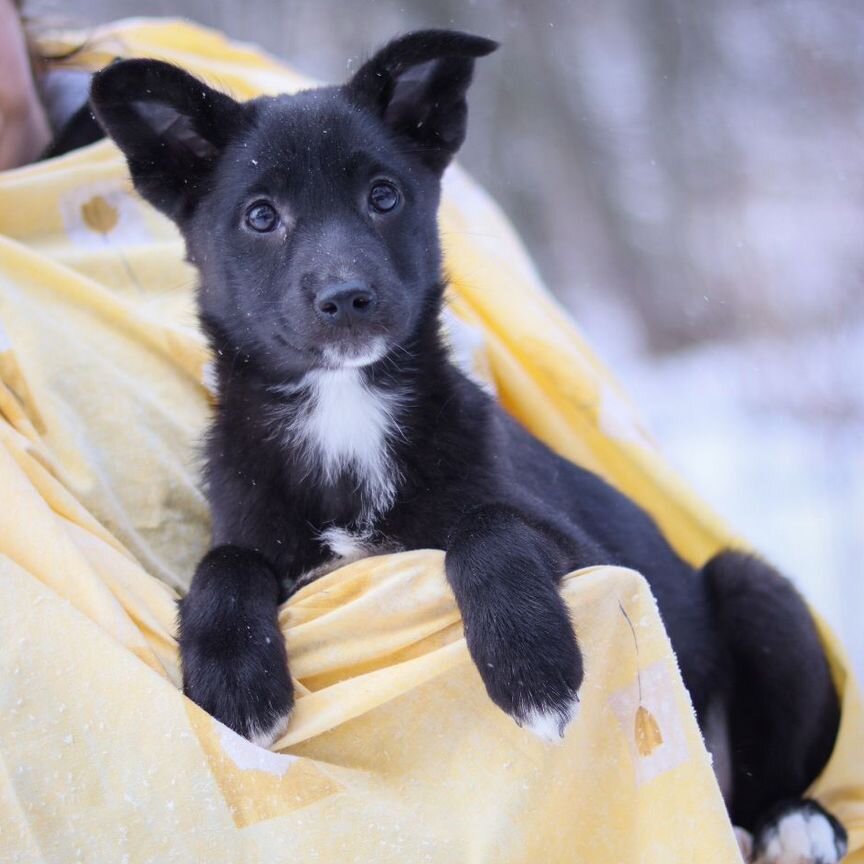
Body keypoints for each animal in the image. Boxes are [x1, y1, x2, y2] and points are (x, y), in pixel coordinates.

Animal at [91, 30, 848, 860]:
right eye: (262, 216)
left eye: (383, 197)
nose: (347, 298)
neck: (346, 412)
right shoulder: (263, 542)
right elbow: (223, 564)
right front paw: (234, 679)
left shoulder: (588, 552)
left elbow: (486, 525)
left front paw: (531, 667)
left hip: (759, 595)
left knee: (773, 771)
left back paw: (795, 821)